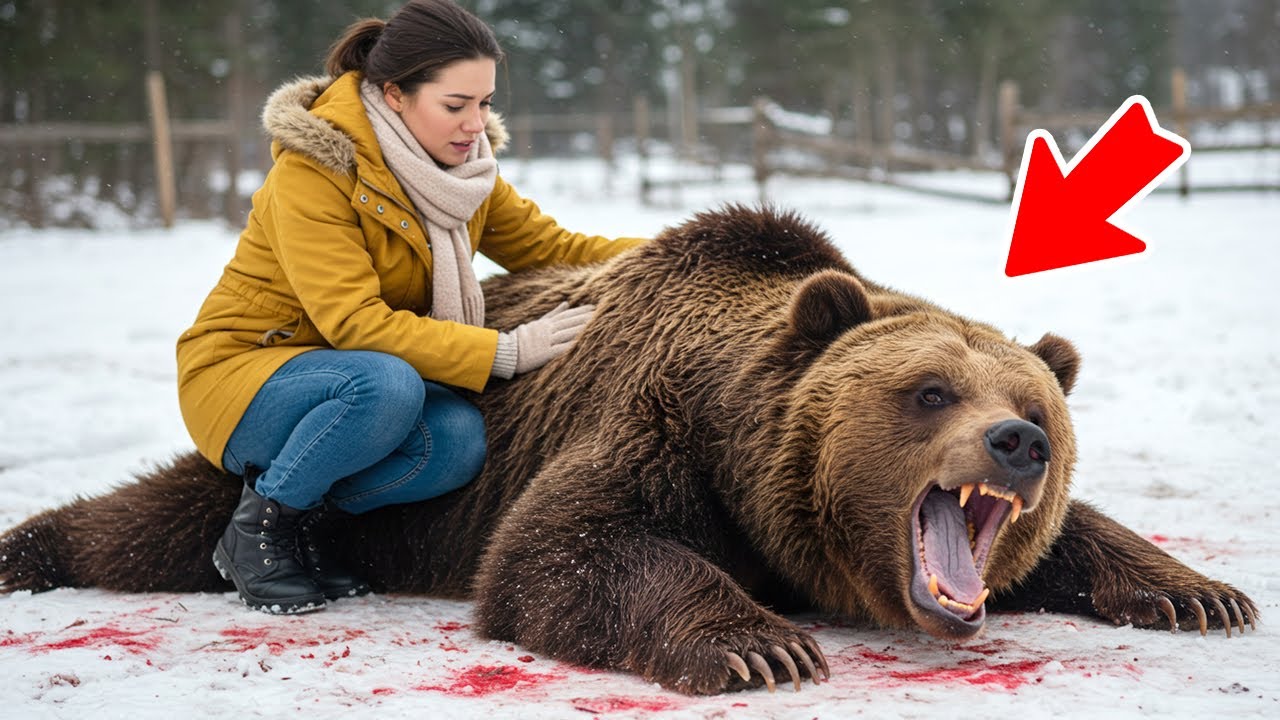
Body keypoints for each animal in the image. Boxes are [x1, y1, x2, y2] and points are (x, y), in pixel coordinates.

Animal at [0, 205, 1257, 695]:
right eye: (927, 390)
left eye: (1034, 403)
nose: (1011, 443)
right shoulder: (655, 435)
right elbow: (570, 548)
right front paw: (757, 645)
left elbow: (1088, 541)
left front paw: (1199, 593)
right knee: (156, 520)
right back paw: (38, 547)